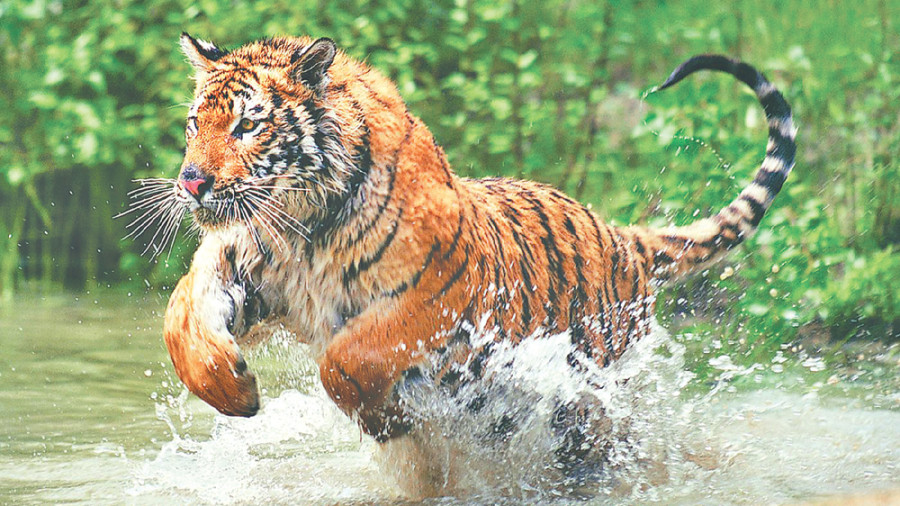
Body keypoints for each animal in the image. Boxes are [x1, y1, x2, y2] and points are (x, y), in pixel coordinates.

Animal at [153, 34, 795, 450]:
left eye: (248, 125)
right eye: (195, 123)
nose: (191, 181)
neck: (298, 223)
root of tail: (622, 236)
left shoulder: (435, 295)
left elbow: (346, 359)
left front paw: (387, 423)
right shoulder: (239, 262)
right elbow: (179, 320)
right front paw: (234, 391)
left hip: (591, 399)